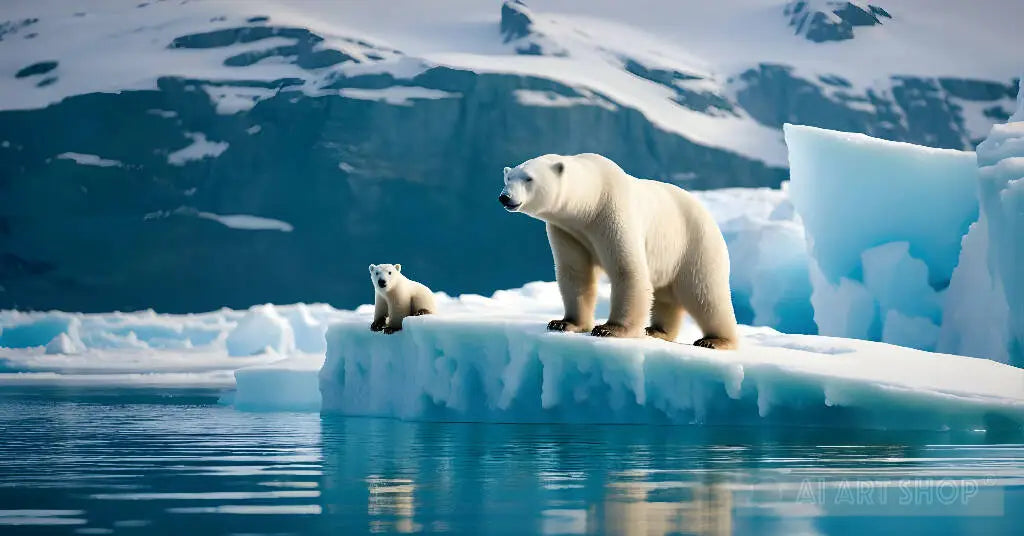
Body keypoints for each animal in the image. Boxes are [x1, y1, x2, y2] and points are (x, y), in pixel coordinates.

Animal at [498, 153, 738, 349]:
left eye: (528, 178)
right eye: (508, 179)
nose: (504, 197)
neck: (590, 200)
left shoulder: (612, 213)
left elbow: (627, 269)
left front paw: (609, 329)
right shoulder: (567, 230)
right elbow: (575, 273)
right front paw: (563, 323)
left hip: (695, 246)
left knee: (705, 295)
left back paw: (714, 340)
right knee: (666, 297)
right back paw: (656, 330)